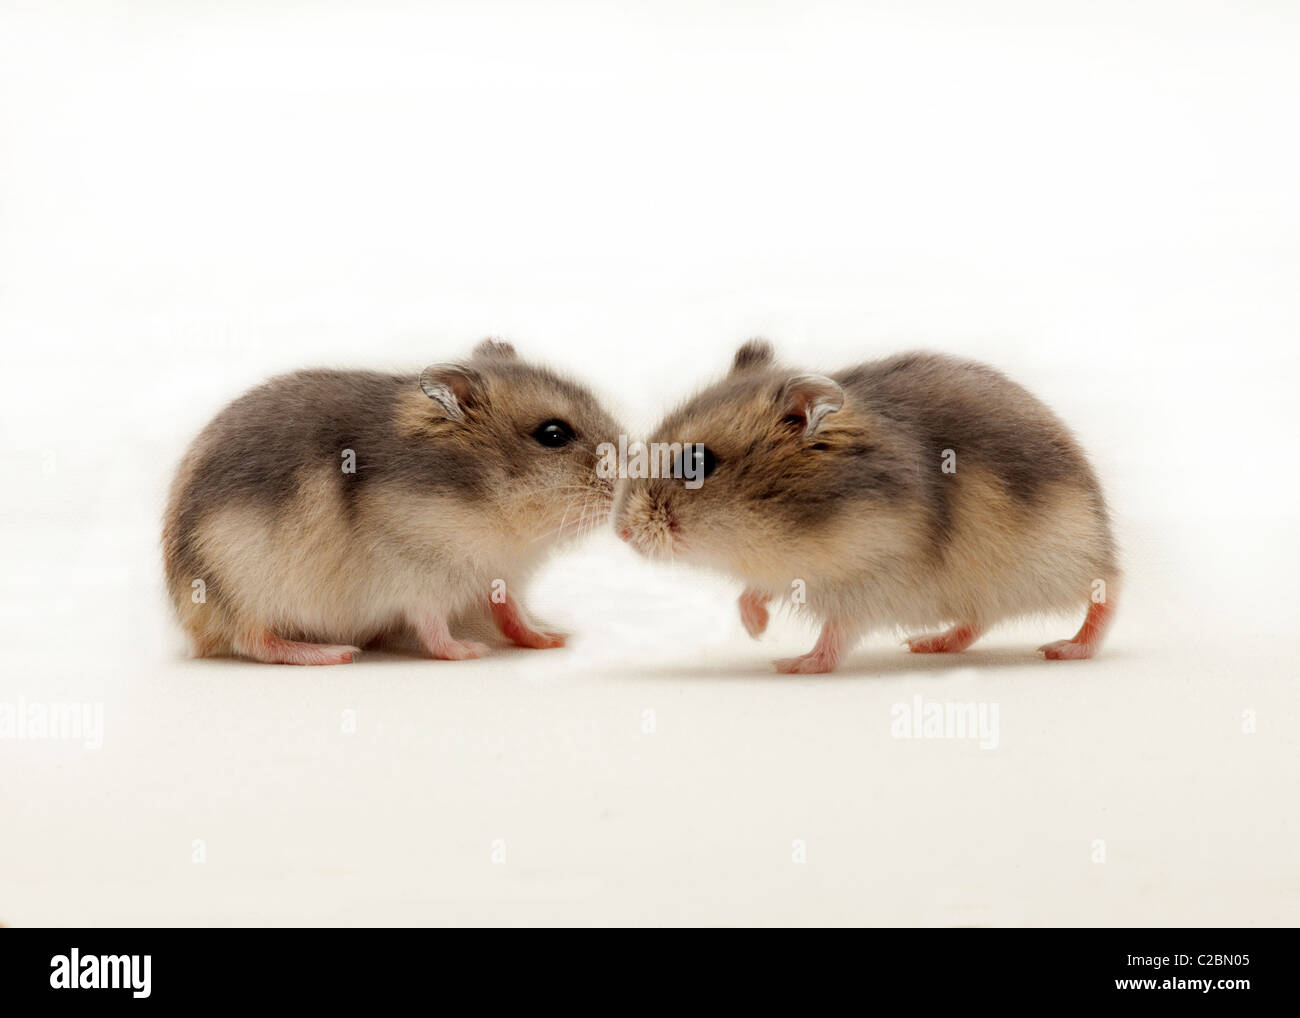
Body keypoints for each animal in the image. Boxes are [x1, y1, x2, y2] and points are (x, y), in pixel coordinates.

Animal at [163, 339, 621, 665]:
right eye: (553, 435)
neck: (491, 505)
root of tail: (189, 621)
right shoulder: (419, 576)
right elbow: (433, 626)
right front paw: (470, 651)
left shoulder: (497, 575)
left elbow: (511, 613)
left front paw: (554, 638)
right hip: (240, 585)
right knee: (252, 638)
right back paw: (335, 654)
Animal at [614, 340, 1118, 673]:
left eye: (697, 463)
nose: (621, 532)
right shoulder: (788, 572)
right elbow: (753, 592)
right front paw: (755, 629)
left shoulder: (868, 579)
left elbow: (834, 635)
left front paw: (792, 664)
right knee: (976, 622)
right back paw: (927, 644)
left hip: (1059, 556)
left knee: (1109, 592)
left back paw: (1066, 649)